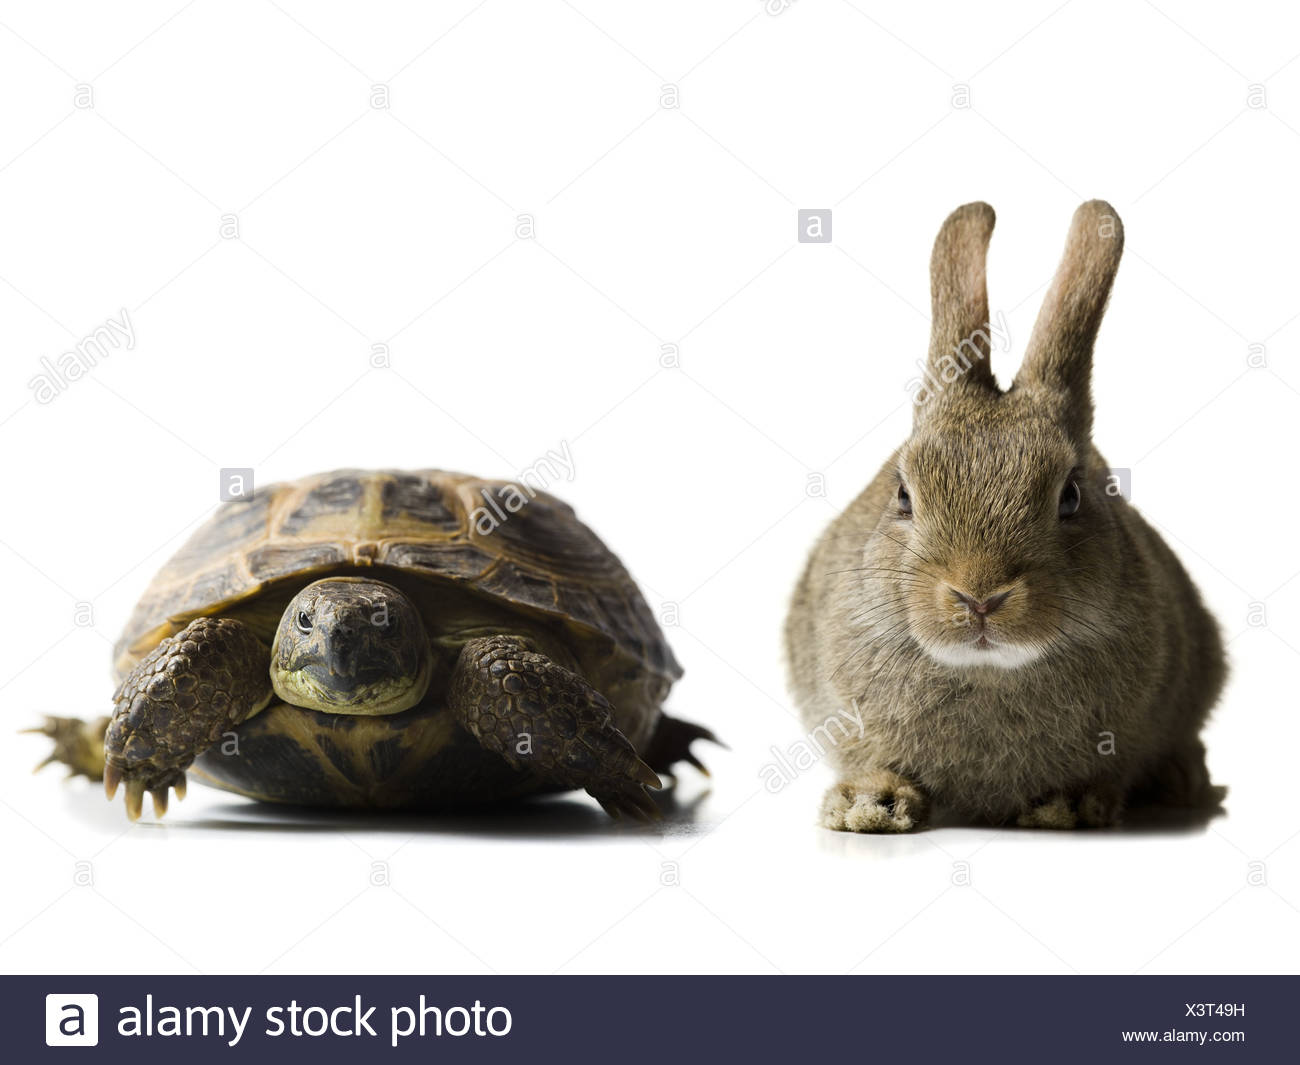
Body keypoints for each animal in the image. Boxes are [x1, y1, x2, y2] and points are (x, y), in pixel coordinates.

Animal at [784, 200, 1226, 832]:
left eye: (1071, 496)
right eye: (903, 494)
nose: (979, 597)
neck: (986, 669)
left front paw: (1068, 804)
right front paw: (870, 805)